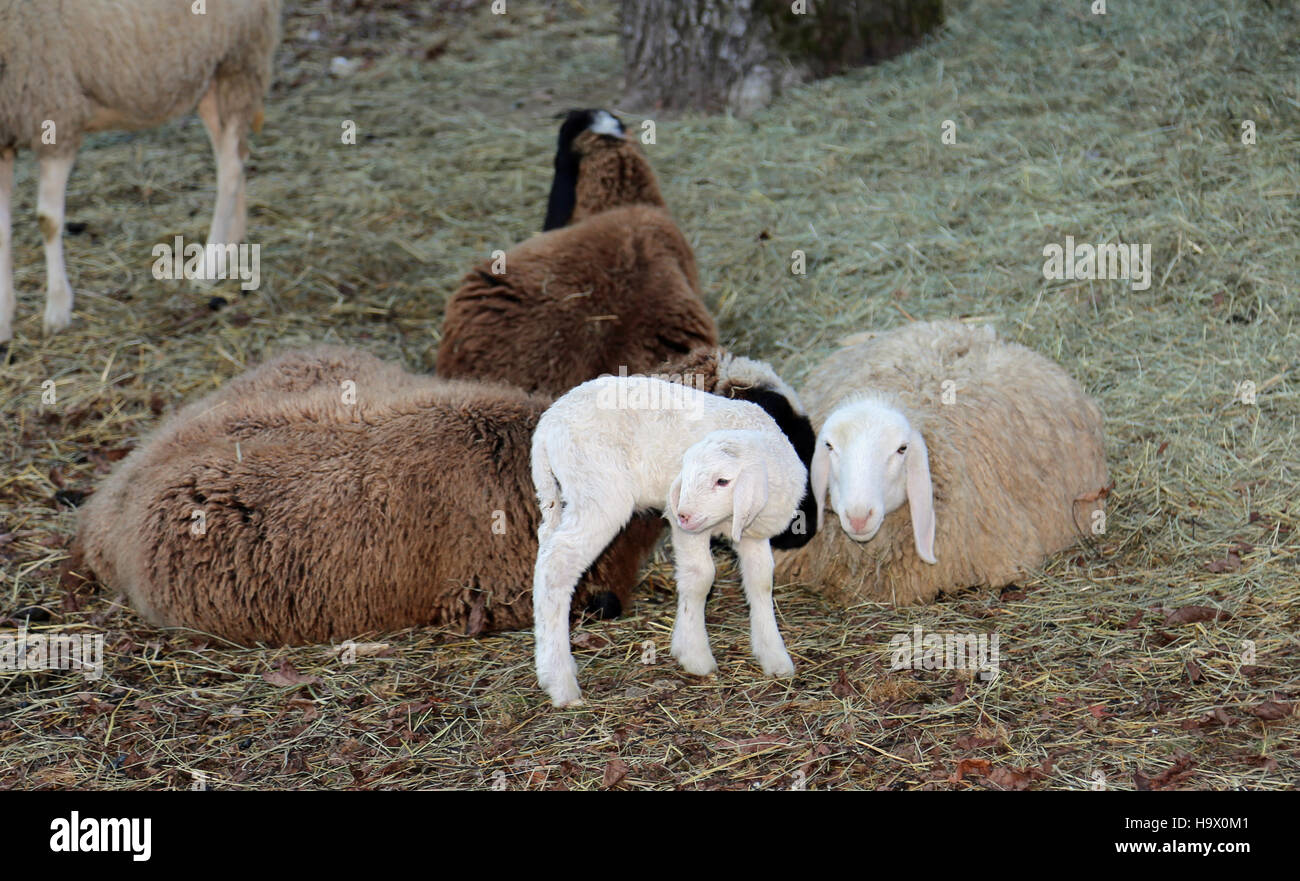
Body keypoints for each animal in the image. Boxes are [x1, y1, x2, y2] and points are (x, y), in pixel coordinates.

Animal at [0, 0, 281, 344]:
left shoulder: (56, 117)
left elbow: (48, 221)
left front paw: (57, 310)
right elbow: (2, 231)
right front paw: (3, 319)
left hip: (239, 57)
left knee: (229, 167)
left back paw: (209, 264)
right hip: (207, 75)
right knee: (235, 155)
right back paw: (231, 244)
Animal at [531, 374, 808, 707]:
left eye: (723, 481)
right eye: (687, 474)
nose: (684, 513)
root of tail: (548, 423)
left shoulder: (753, 534)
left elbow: (761, 582)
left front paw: (774, 655)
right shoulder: (687, 529)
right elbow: (700, 578)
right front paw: (694, 654)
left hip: (560, 495)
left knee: (545, 552)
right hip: (597, 491)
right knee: (557, 566)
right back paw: (561, 683)